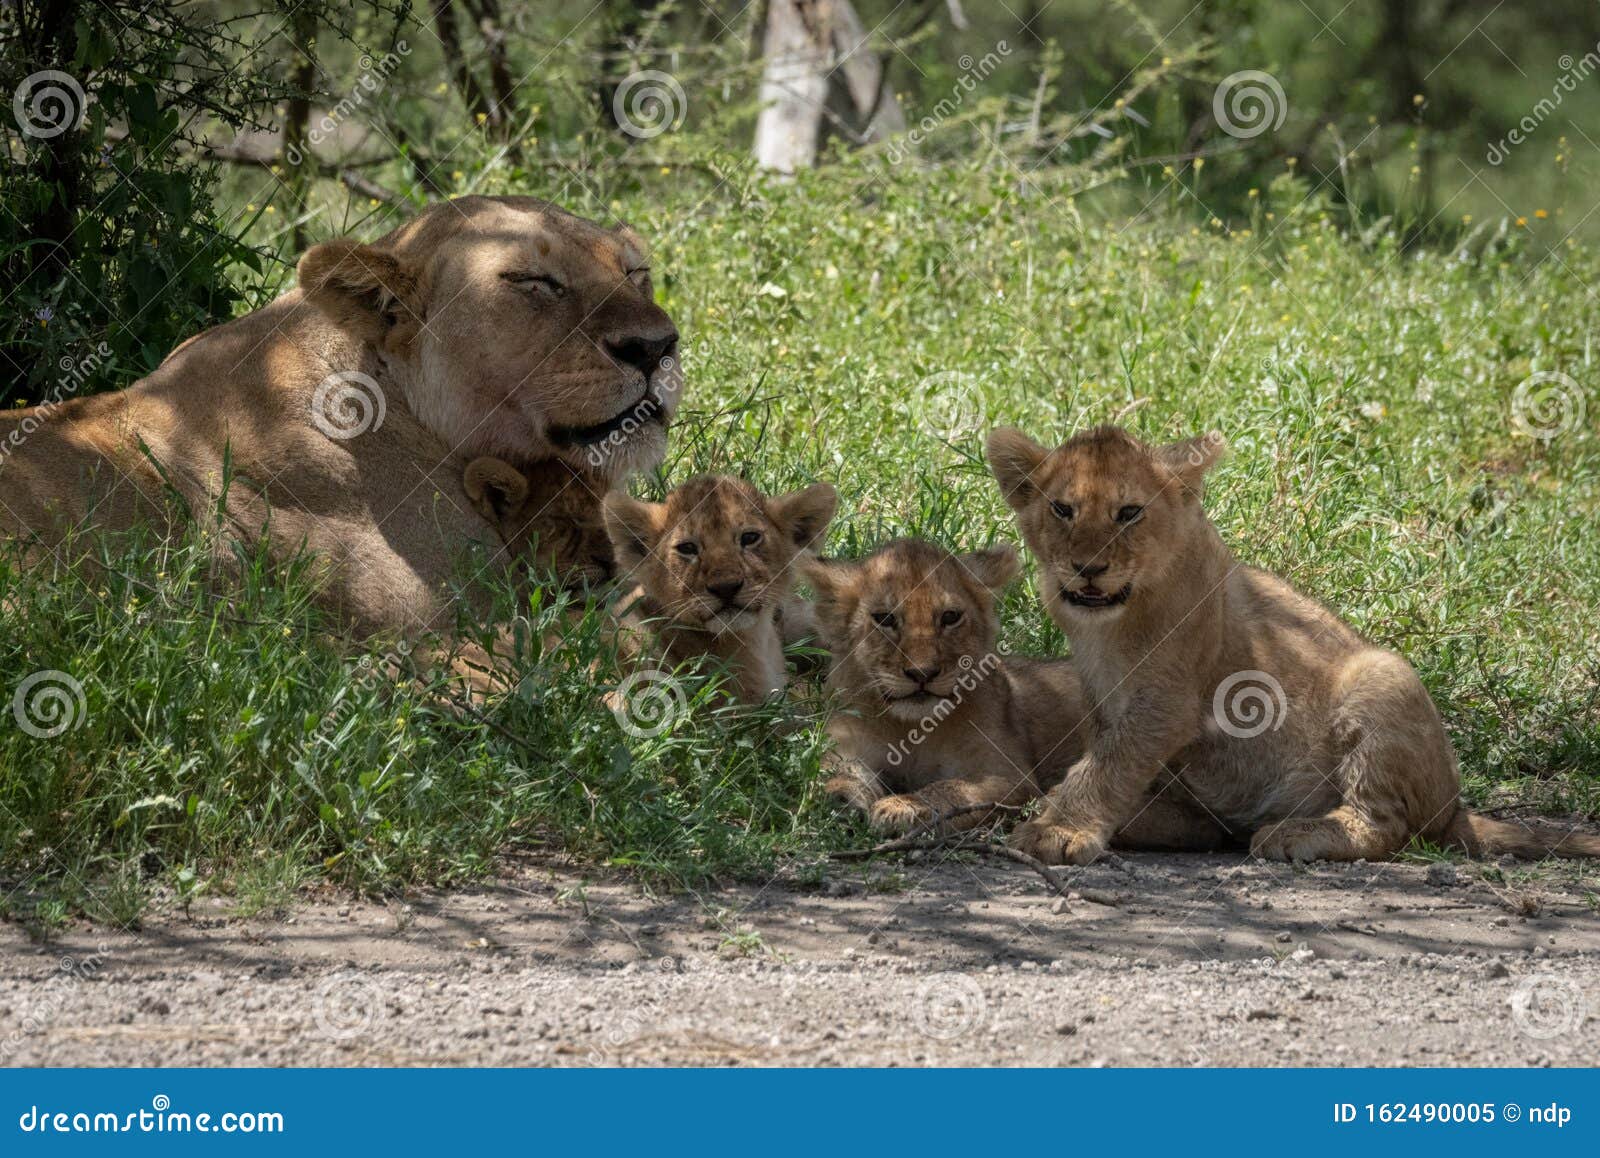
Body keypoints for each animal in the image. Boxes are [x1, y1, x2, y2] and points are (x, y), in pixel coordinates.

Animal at [803, 538, 1090, 833]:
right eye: (884, 618)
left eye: (950, 617)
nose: (922, 673)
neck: (911, 726)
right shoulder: (845, 743)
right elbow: (834, 771)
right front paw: (840, 798)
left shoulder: (1008, 774)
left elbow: (950, 789)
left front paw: (899, 807)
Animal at [986, 423, 1600, 865]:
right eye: (1062, 509)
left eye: (1129, 512)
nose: (1088, 568)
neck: (1112, 625)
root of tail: (1454, 810)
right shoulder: (1101, 698)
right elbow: (1105, 755)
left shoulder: (1166, 699)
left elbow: (1111, 762)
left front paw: (1058, 830)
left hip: (1382, 677)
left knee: (1389, 827)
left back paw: (1292, 833)